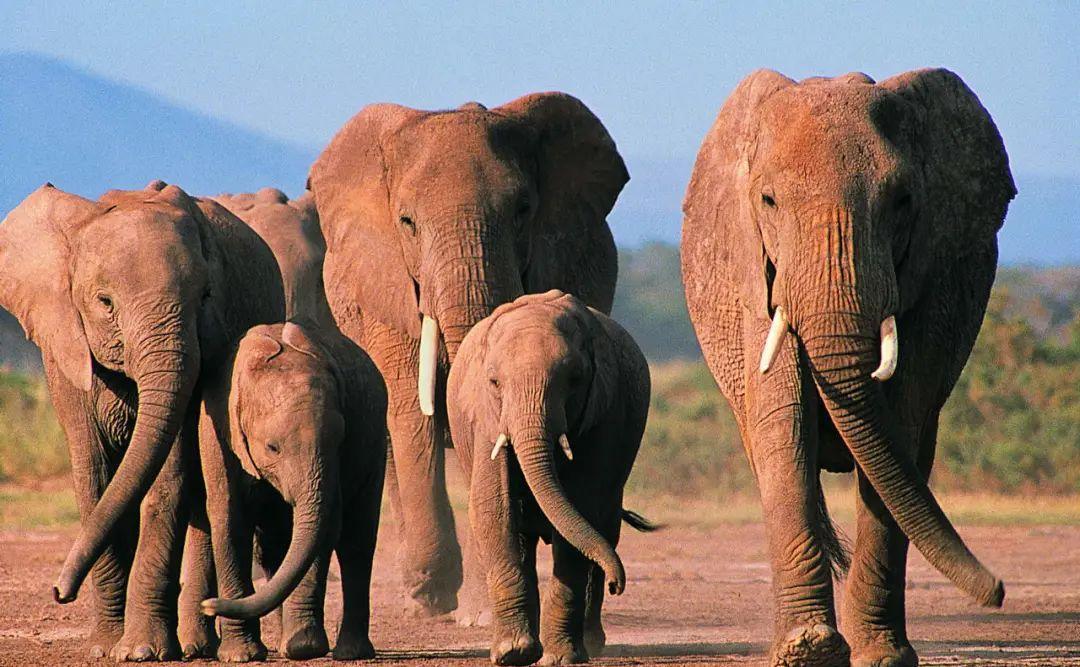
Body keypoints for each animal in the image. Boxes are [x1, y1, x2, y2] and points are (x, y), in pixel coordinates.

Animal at [0, 180, 286, 660]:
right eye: (105, 302)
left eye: (205, 297)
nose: (60, 591)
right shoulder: (66, 351)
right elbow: (94, 475)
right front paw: (104, 648)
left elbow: (167, 477)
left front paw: (140, 651)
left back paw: (195, 645)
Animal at [197, 321, 387, 661]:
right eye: (273, 448)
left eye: (340, 439)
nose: (207, 607)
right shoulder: (217, 431)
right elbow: (229, 523)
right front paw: (241, 656)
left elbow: (327, 528)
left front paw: (303, 649)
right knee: (273, 547)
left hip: (377, 442)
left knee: (357, 543)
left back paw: (349, 652)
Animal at [307, 92, 629, 618]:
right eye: (407, 223)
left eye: (522, 210)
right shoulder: (385, 292)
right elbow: (411, 414)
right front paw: (432, 597)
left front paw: (478, 613)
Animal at [446, 290, 654, 666]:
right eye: (494, 383)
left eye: (574, 379)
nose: (619, 584)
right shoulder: (485, 417)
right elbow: (494, 507)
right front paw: (513, 653)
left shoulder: (606, 413)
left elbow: (583, 507)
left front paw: (560, 658)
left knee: (604, 529)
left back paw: (591, 644)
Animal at [681, 69, 1015, 666]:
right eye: (767, 200)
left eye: (902, 201)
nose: (998, 591)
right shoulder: (754, 274)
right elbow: (782, 424)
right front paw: (807, 649)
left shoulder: (934, 282)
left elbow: (899, 429)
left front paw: (881, 656)